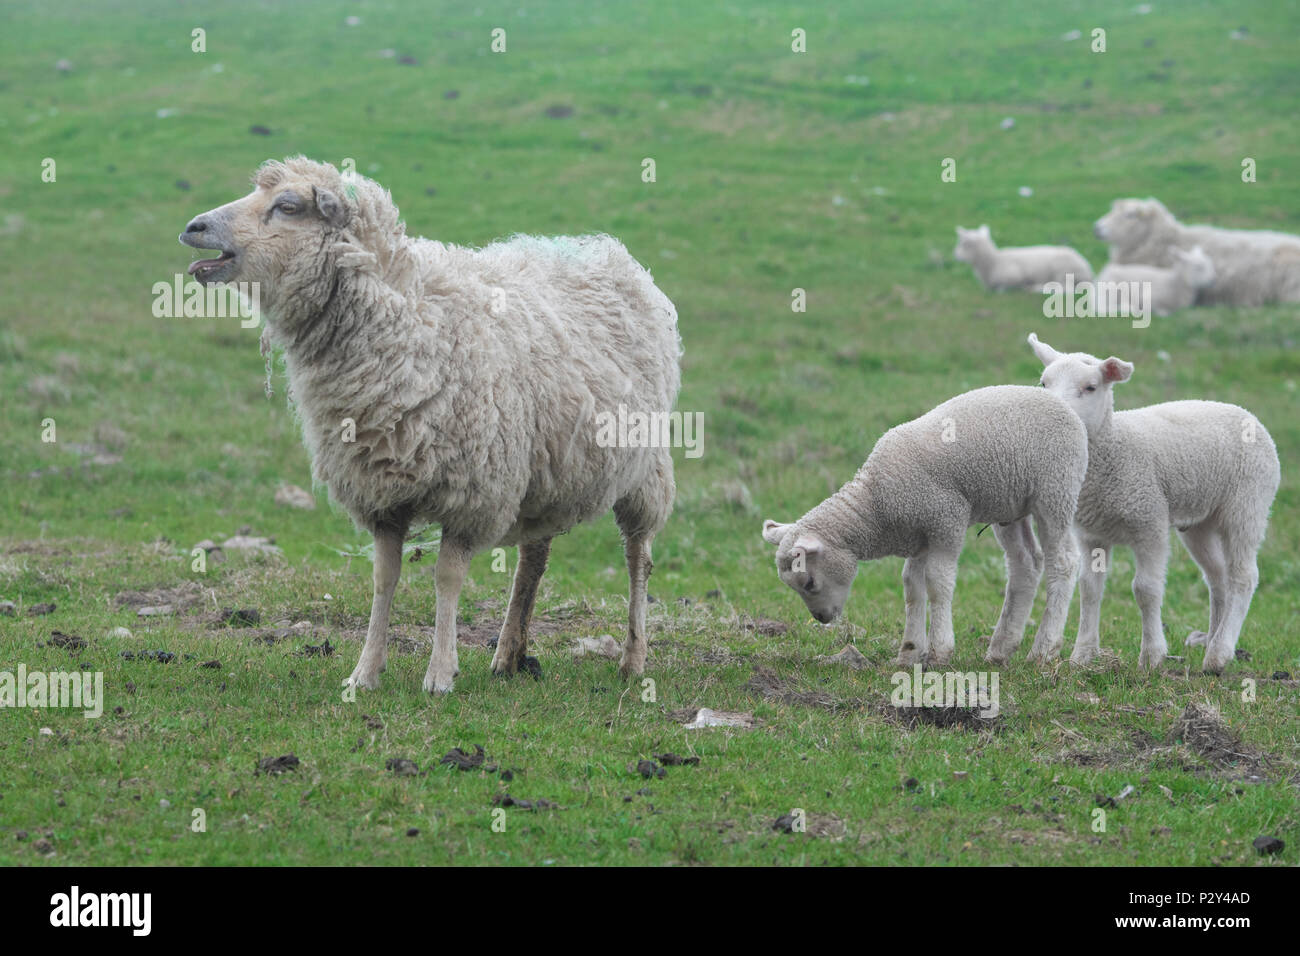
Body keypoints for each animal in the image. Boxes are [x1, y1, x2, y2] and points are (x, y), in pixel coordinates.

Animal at [178, 157, 681, 694]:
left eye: (288, 206)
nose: (193, 228)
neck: (409, 319)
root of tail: (608, 252)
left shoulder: (471, 491)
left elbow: (447, 578)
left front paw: (440, 673)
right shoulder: (380, 492)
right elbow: (384, 579)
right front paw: (365, 672)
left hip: (644, 466)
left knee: (638, 556)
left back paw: (632, 658)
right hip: (545, 471)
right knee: (534, 558)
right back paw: (509, 653)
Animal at [761, 385, 1088, 667]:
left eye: (809, 582)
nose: (821, 618)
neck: (876, 504)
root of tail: (1062, 403)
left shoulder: (946, 520)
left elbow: (937, 582)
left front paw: (940, 651)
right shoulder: (919, 535)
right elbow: (911, 586)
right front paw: (909, 652)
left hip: (1056, 489)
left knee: (1064, 562)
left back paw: (1044, 649)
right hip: (1010, 506)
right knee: (1026, 563)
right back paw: (1001, 648)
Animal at [953, 224, 1093, 292]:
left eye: (963, 244)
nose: (955, 255)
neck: (995, 261)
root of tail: (1088, 271)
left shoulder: (1015, 277)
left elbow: (1003, 287)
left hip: (1063, 271)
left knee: (1065, 289)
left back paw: (1036, 289)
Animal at [1027, 333, 1280, 673]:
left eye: (1090, 387)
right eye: (1043, 383)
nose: (1052, 416)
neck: (1113, 449)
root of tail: (1246, 413)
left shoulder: (1149, 522)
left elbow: (1145, 590)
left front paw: (1151, 656)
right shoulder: (1091, 533)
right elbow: (1090, 589)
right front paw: (1082, 656)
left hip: (1248, 504)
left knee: (1243, 576)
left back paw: (1220, 653)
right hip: (1199, 523)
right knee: (1218, 578)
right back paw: (1212, 640)